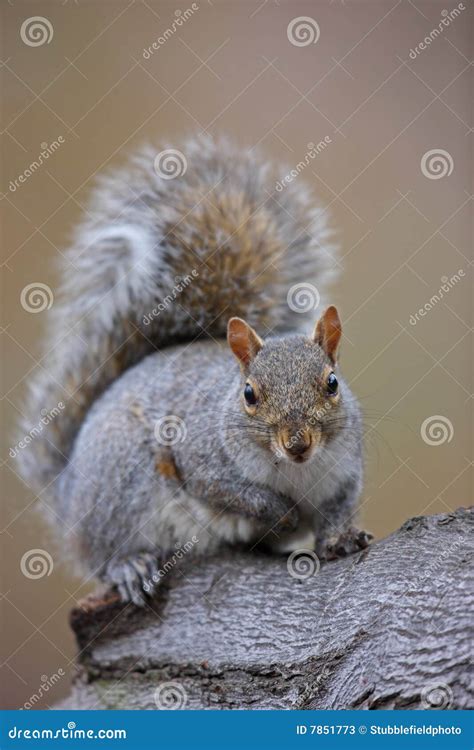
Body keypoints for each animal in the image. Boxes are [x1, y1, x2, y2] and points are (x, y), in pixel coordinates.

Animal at [17, 136, 370, 605]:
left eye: (332, 384)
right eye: (249, 394)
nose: (297, 444)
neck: (295, 470)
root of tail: (67, 496)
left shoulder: (345, 470)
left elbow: (338, 509)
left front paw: (338, 538)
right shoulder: (200, 457)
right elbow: (228, 492)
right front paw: (280, 513)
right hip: (121, 476)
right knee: (105, 554)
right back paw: (128, 565)